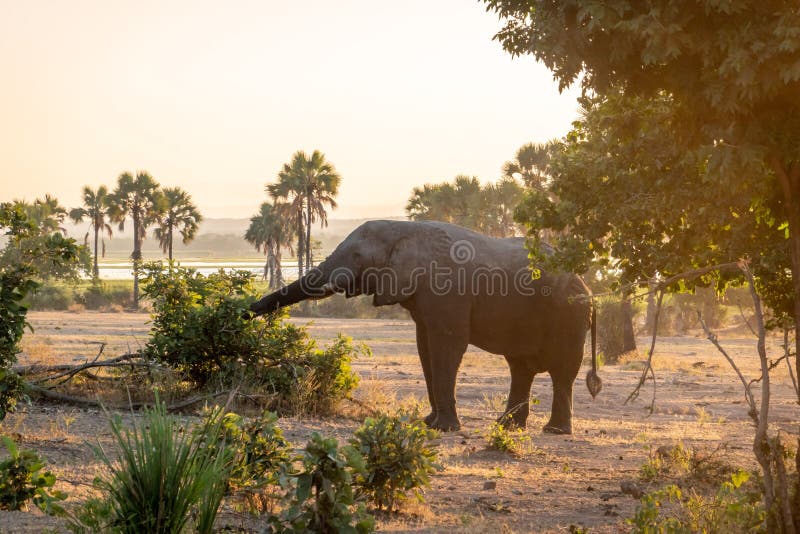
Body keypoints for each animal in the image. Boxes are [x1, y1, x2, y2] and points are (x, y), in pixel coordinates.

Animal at [250, 220, 601, 433]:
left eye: (358, 254)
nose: (245, 313)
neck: (405, 227)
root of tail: (588, 288)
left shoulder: (447, 290)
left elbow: (447, 344)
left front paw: (444, 428)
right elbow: (425, 347)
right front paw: (429, 423)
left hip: (568, 314)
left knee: (561, 370)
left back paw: (553, 430)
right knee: (520, 368)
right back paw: (507, 427)